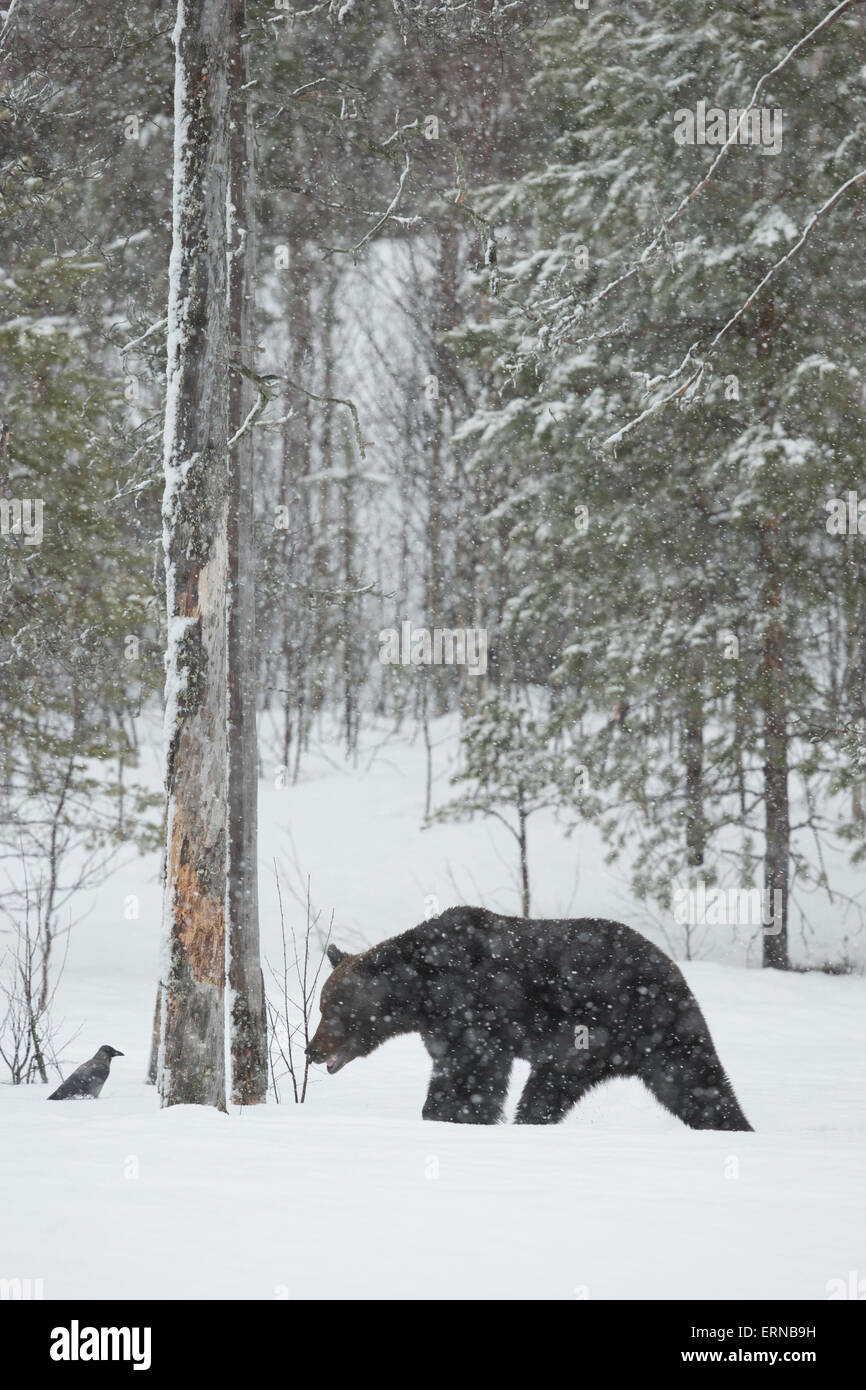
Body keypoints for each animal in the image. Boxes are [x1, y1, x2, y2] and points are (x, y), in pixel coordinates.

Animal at [306, 906, 753, 1129]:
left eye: (333, 1008)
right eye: (322, 1007)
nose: (311, 1050)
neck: (425, 992)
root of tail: (673, 968)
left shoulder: (475, 1013)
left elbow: (473, 1075)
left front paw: (460, 1116)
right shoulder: (442, 1030)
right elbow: (447, 1072)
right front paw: (438, 1113)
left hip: (647, 1022)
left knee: (693, 1076)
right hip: (577, 1057)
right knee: (546, 1094)